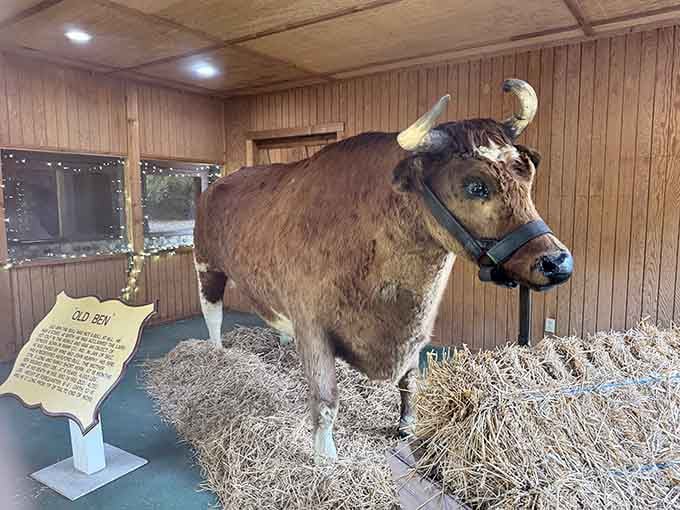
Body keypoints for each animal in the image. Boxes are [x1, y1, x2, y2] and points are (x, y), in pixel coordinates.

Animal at [193, 79, 573, 463]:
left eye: (527, 173)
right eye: (475, 185)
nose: (557, 261)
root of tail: (217, 183)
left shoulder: (417, 328)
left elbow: (410, 381)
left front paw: (406, 425)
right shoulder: (312, 326)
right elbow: (325, 399)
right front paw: (325, 458)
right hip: (205, 264)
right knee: (212, 312)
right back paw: (217, 353)